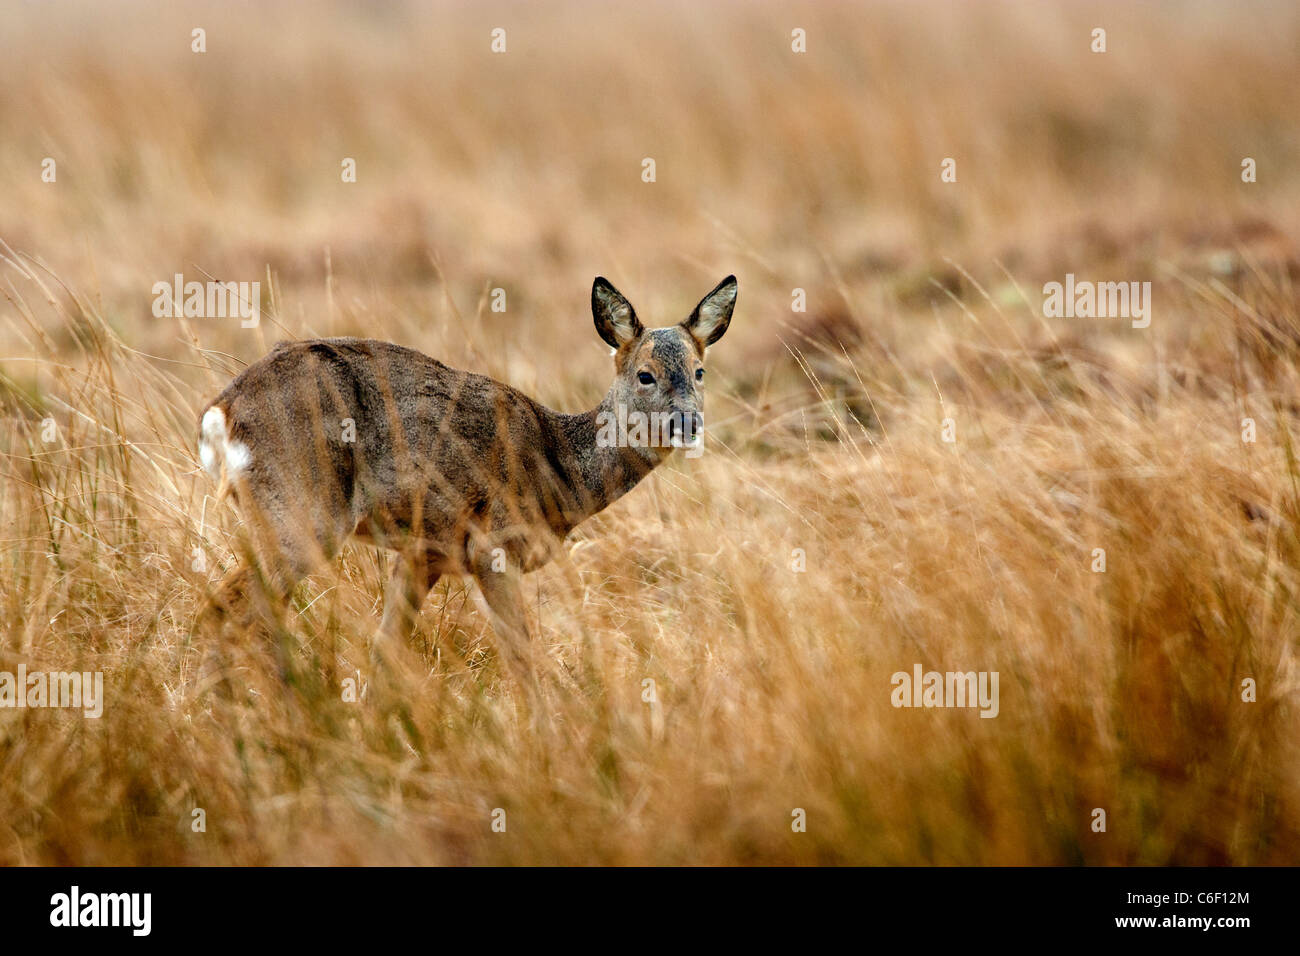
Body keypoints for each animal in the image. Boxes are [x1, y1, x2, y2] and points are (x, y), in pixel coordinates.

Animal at [197, 275, 737, 699]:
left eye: (699, 371)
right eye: (645, 375)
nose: (688, 423)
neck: (560, 465)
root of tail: (221, 412)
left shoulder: (424, 554)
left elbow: (385, 651)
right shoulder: (492, 547)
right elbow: (521, 659)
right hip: (302, 511)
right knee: (228, 610)